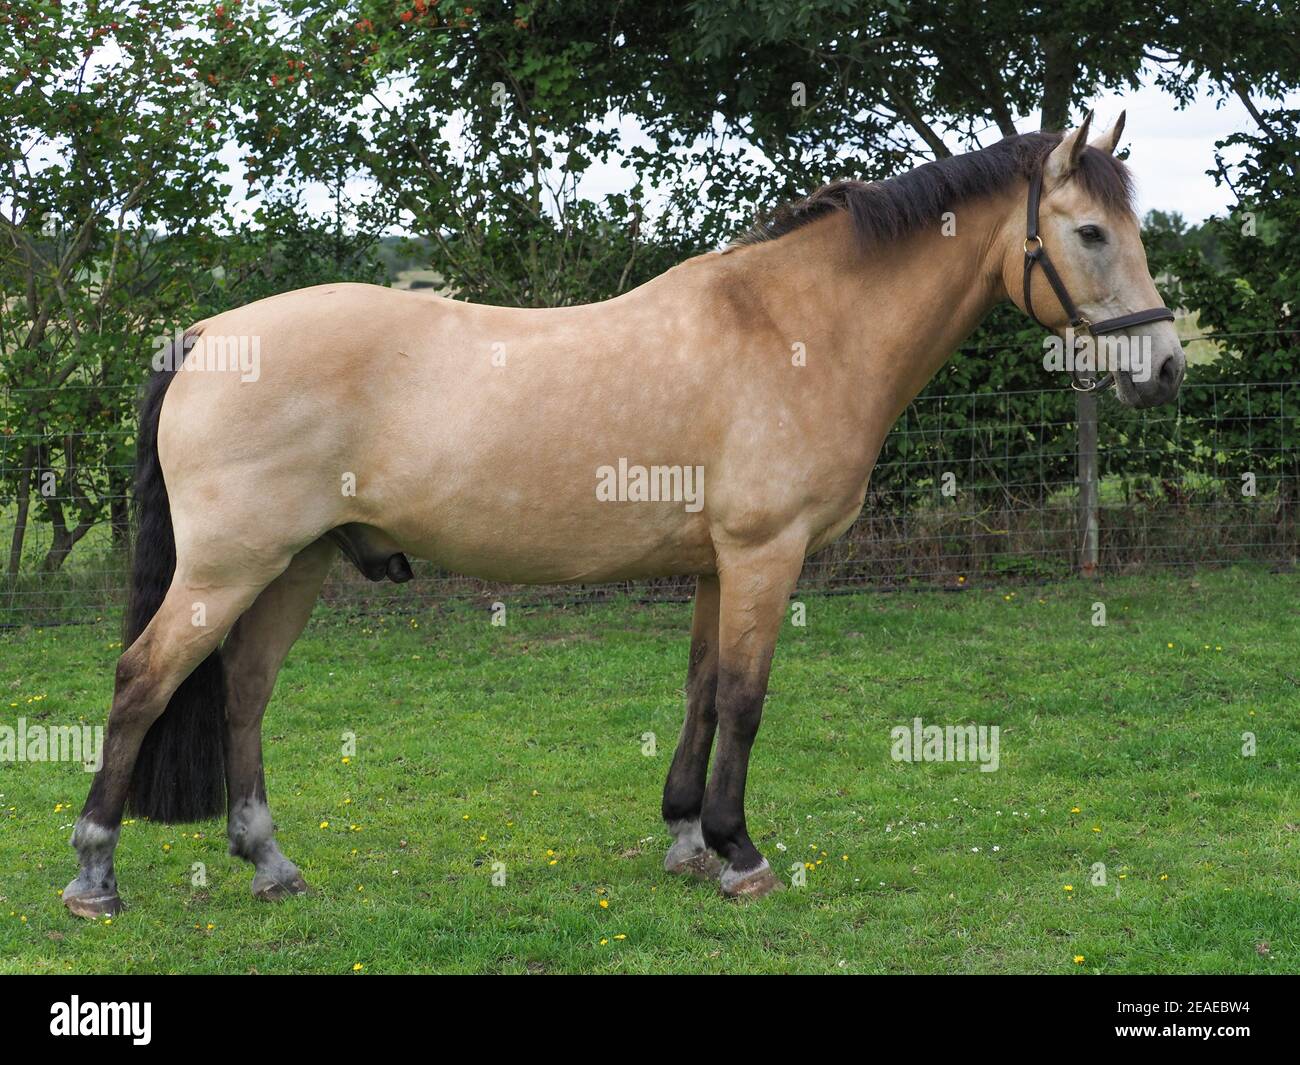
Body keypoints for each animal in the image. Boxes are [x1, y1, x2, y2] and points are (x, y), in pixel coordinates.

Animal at [63, 112, 1185, 916]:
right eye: (1089, 232)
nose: (1166, 368)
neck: (792, 329)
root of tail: (207, 335)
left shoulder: (716, 564)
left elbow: (698, 692)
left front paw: (687, 838)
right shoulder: (765, 555)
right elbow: (743, 699)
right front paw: (740, 852)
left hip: (290, 566)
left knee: (243, 693)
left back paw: (271, 864)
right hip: (229, 567)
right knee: (141, 683)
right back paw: (95, 879)